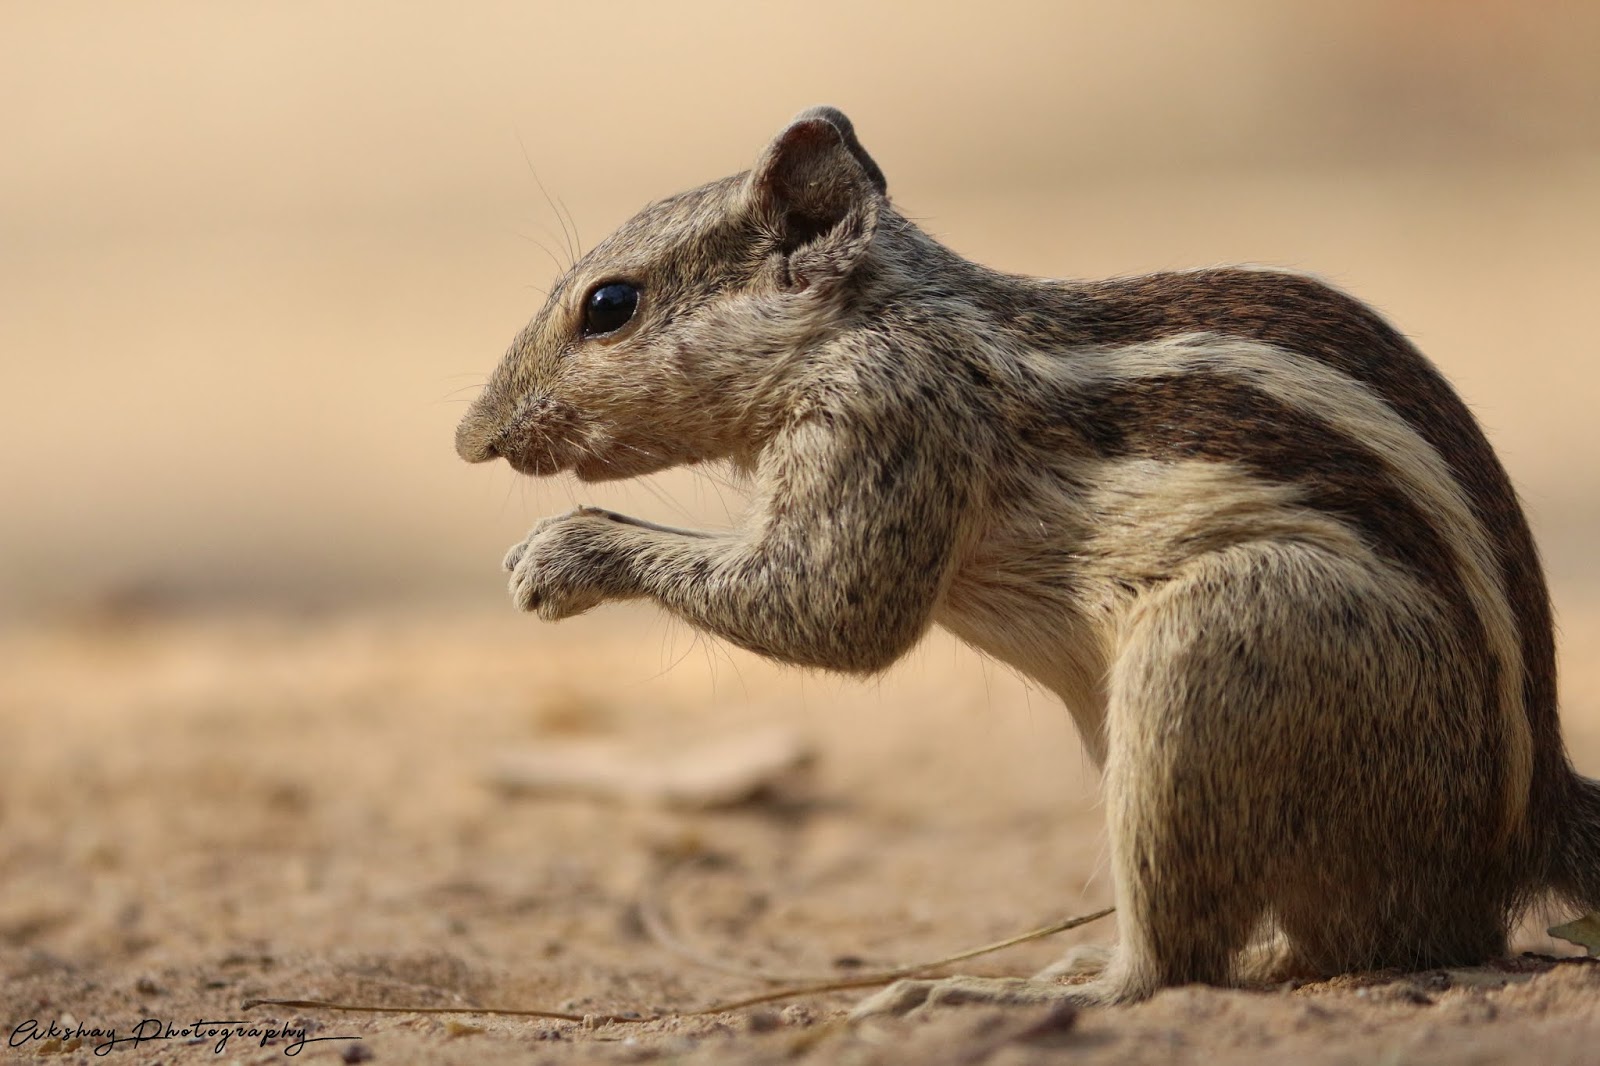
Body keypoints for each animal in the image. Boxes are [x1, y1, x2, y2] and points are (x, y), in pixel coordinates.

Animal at [455, 106, 1600, 1012]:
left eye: (610, 306)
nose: (471, 439)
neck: (875, 318)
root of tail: (1526, 819)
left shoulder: (885, 417)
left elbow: (834, 608)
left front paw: (564, 550)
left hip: (1220, 644)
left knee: (1178, 964)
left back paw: (1018, 988)